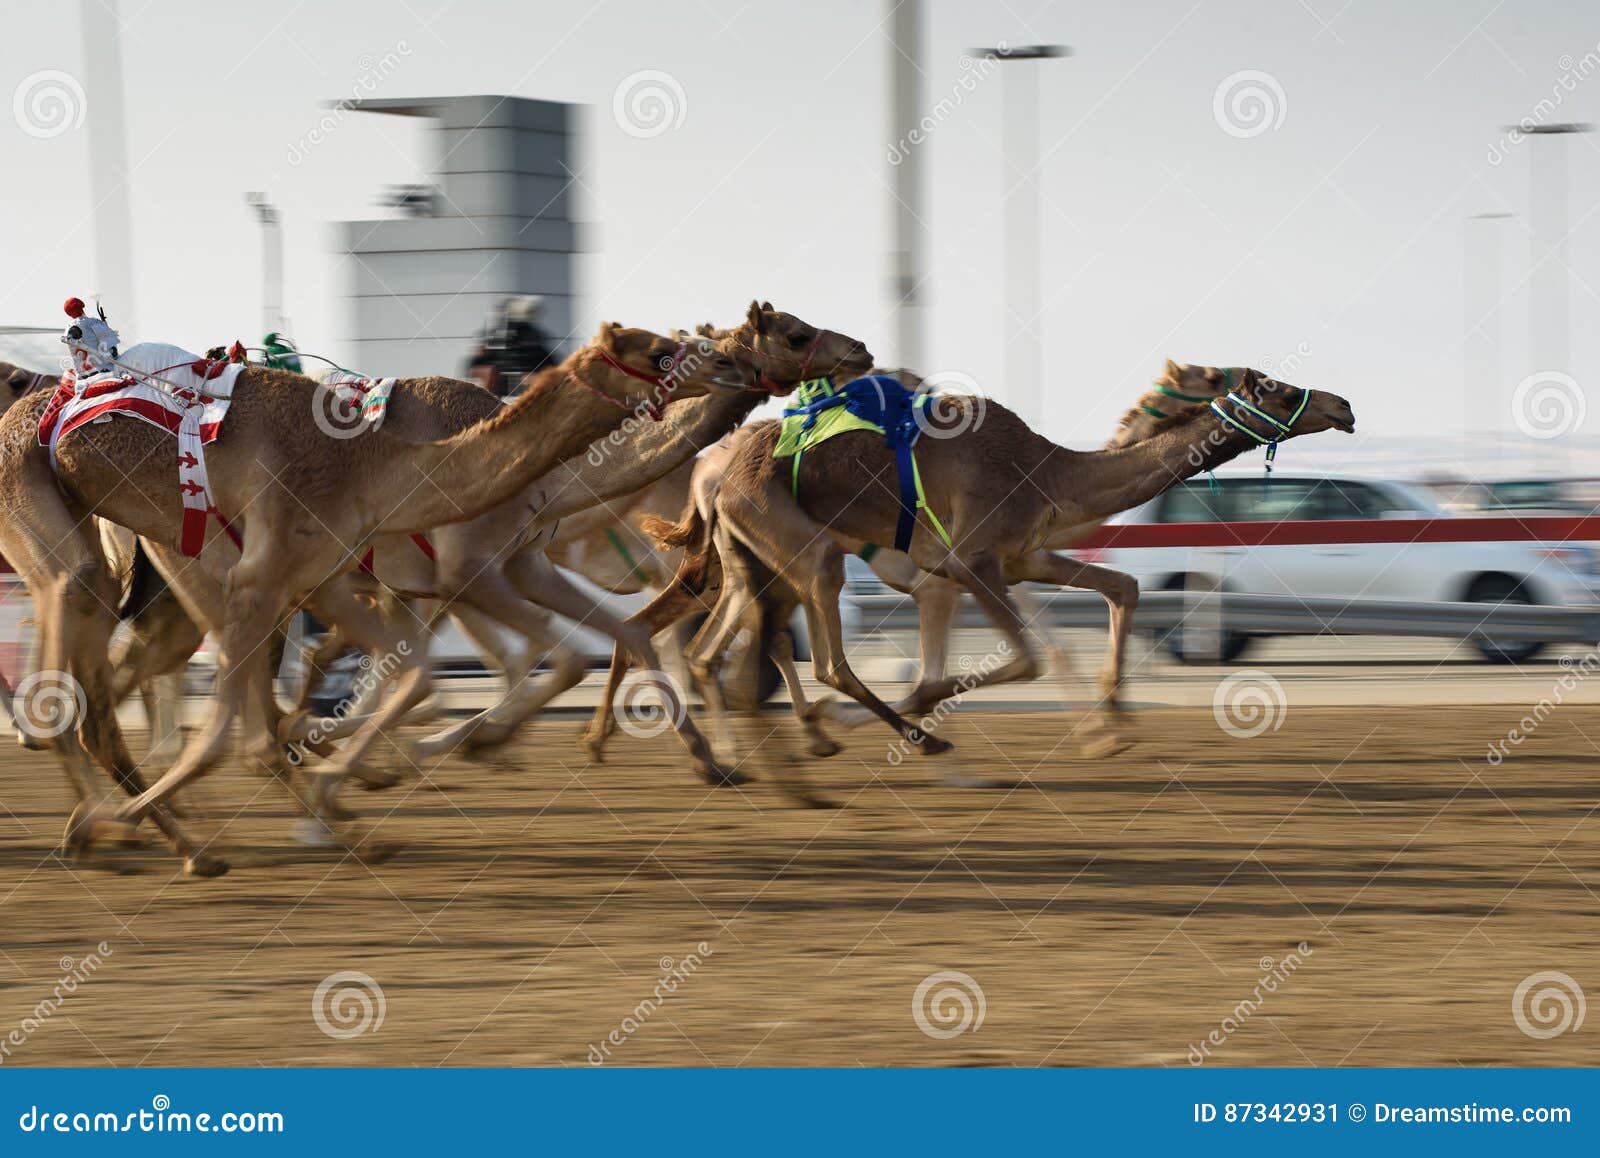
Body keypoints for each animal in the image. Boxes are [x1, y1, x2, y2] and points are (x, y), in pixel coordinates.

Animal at [0, 322, 749, 875]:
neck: (371, 465)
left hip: (156, 547)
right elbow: (232, 736)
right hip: (39, 496)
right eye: (662, 350)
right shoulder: (370, 575)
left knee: (107, 658)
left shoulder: (338, 579)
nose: (734, 368)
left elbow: (424, 674)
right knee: (72, 659)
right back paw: (132, 829)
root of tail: (28, 399)